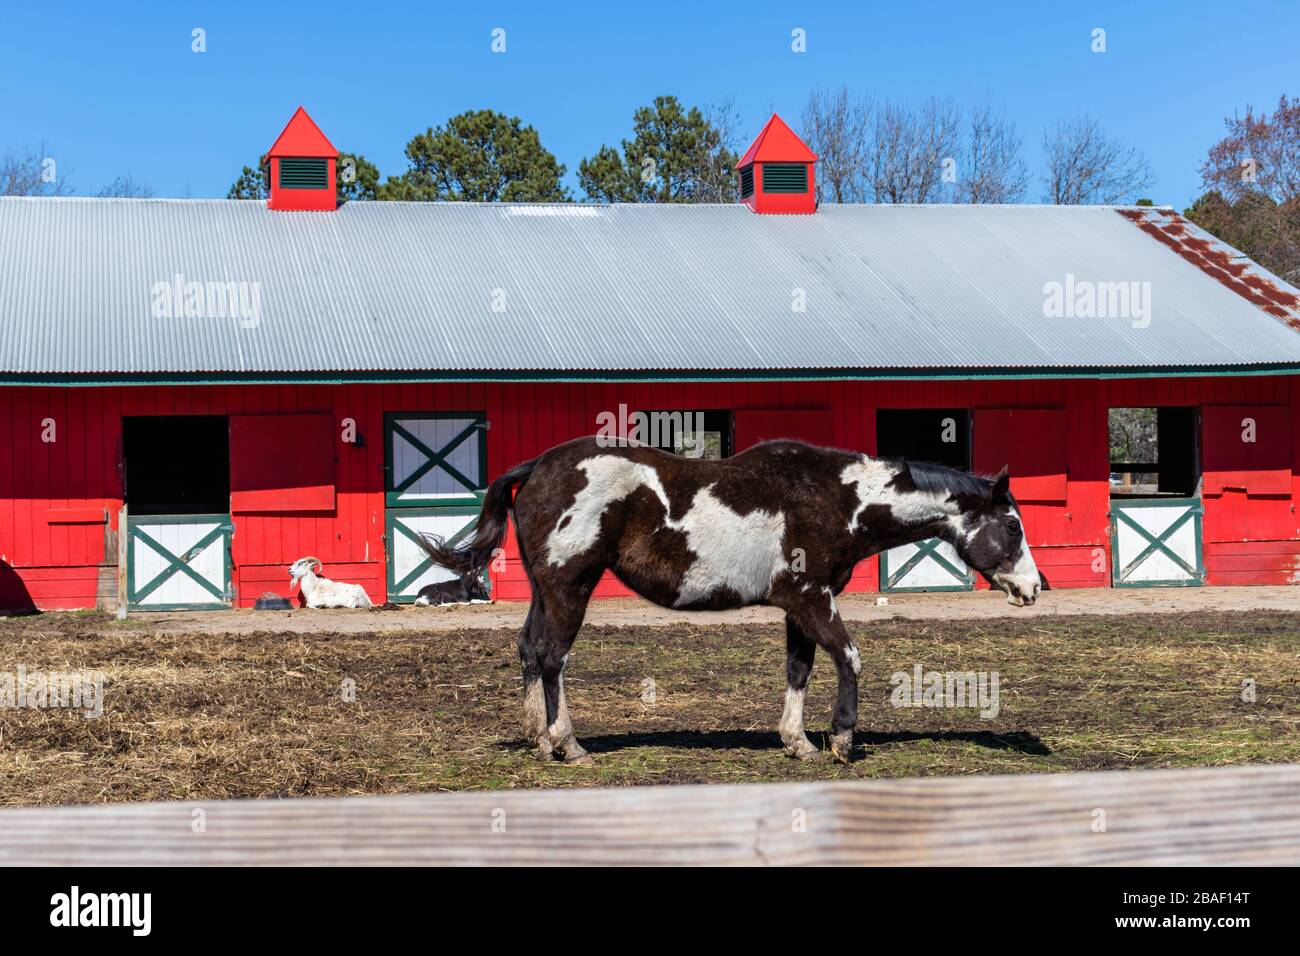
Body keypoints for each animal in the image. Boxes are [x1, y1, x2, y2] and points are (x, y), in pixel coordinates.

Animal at [424, 435, 1042, 765]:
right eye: (1013, 526)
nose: (1034, 587)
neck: (839, 498)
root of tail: (539, 465)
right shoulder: (813, 599)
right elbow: (849, 658)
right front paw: (841, 740)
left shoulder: (797, 607)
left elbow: (799, 670)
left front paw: (798, 742)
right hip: (570, 588)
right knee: (553, 658)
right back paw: (568, 745)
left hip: (545, 592)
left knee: (530, 651)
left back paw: (539, 739)